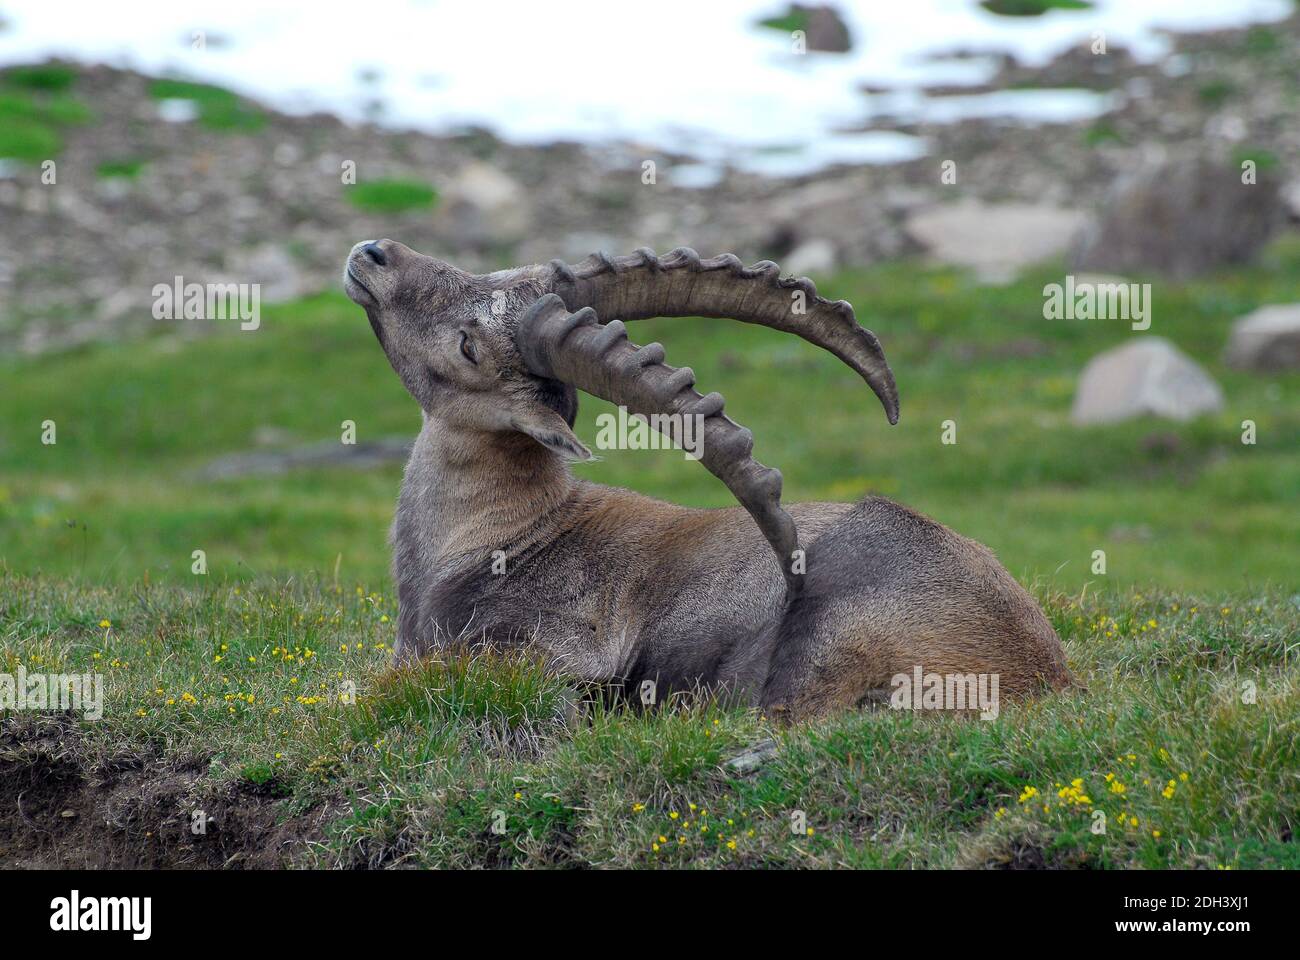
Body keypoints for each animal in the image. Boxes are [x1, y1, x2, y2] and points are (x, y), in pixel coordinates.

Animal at [343, 240, 1073, 719]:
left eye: (468, 345)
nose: (375, 252)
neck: (499, 532)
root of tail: (1041, 674)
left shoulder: (548, 649)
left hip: (826, 636)